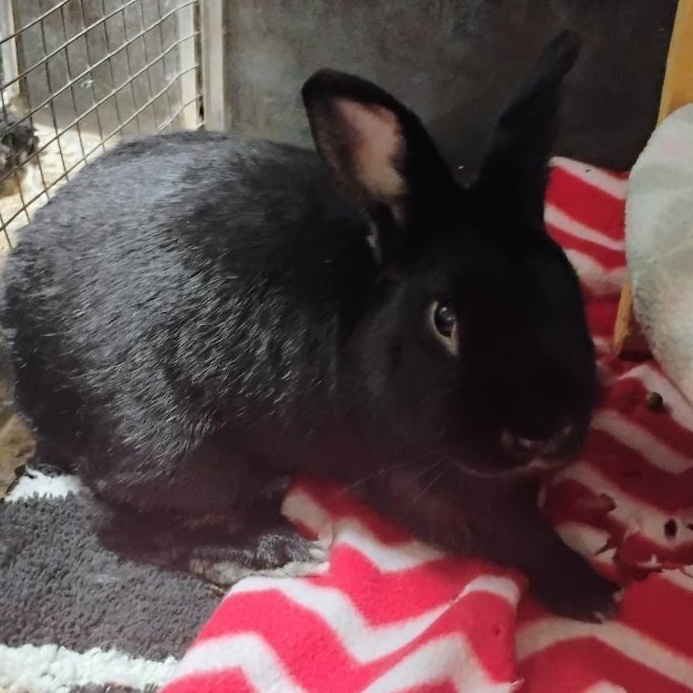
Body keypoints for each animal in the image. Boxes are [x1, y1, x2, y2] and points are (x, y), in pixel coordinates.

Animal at [1, 30, 620, 621]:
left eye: (567, 287)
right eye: (444, 319)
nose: (543, 431)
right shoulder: (421, 478)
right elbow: (512, 531)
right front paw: (591, 590)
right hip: (174, 450)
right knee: (119, 526)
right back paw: (271, 551)